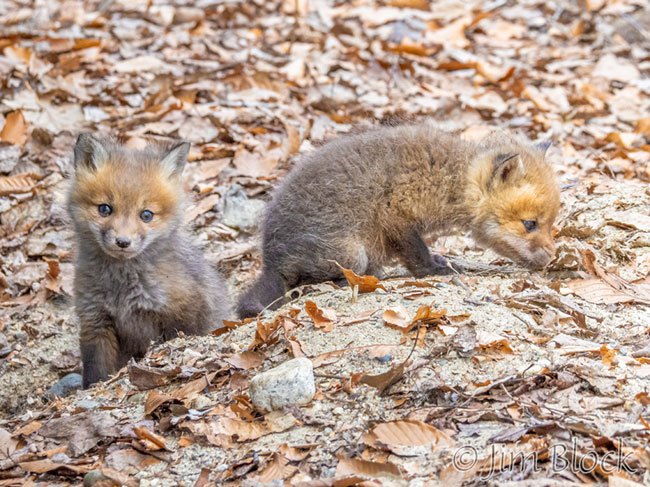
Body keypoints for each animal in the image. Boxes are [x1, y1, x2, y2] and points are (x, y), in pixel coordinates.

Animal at [68, 134, 230, 388]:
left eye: (146, 215)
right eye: (105, 209)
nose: (123, 242)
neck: (121, 290)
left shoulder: (183, 313)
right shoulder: (95, 320)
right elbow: (96, 372)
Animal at [237, 122, 561, 317]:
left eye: (551, 224)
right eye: (530, 224)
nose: (551, 258)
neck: (450, 179)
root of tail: (270, 259)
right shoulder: (396, 214)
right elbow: (417, 255)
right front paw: (435, 270)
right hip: (353, 255)